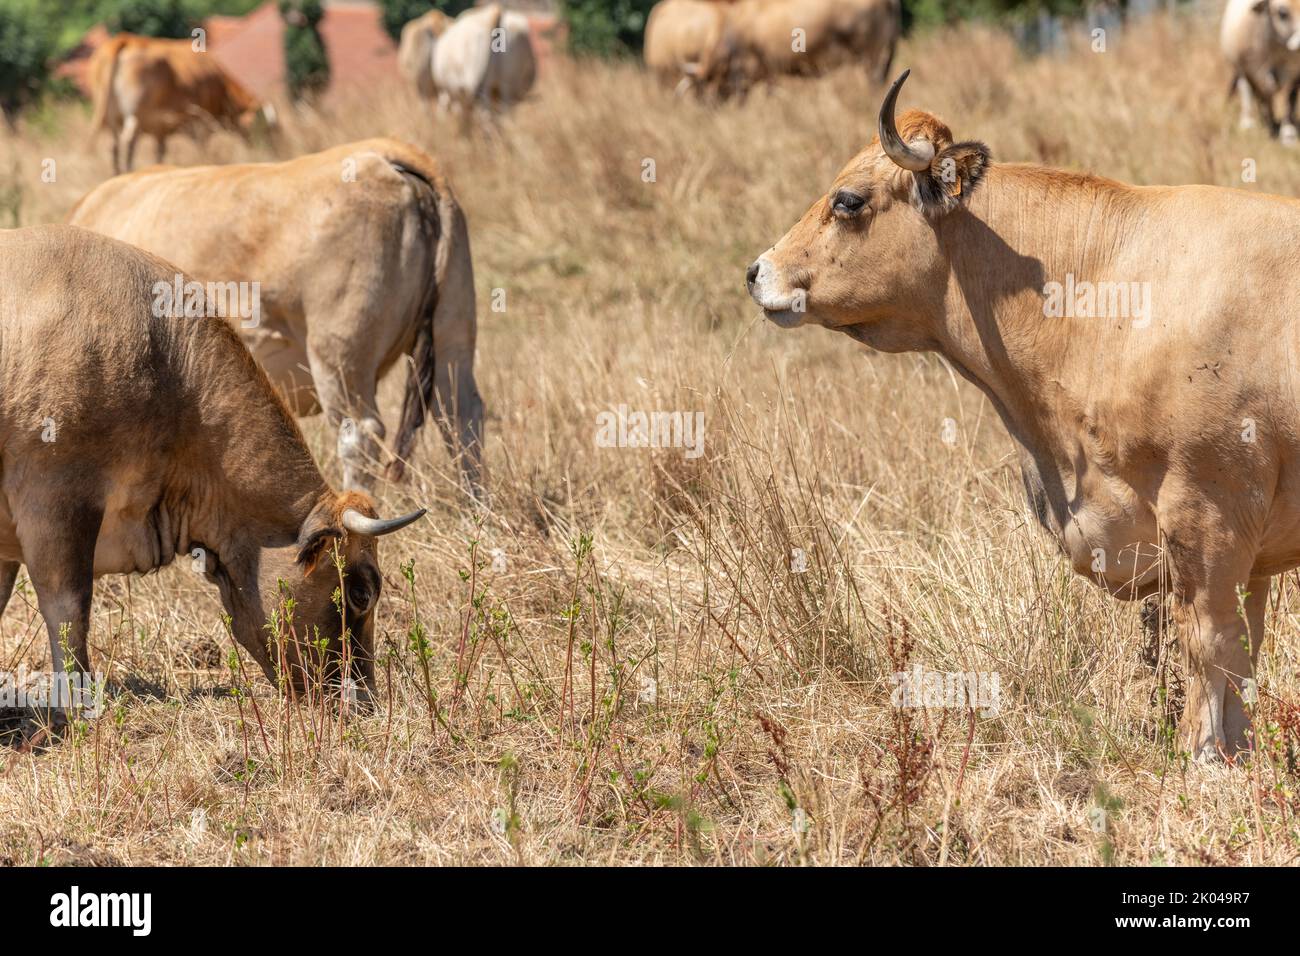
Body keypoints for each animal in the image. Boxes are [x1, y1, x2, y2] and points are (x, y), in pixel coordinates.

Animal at [88, 33, 278, 174]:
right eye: (268, 129)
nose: (276, 152)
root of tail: (123, 39)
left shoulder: (161, 130)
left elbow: (160, 152)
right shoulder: (201, 123)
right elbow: (202, 149)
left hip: (112, 117)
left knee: (113, 146)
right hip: (134, 115)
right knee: (128, 142)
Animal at [748, 70, 1300, 760]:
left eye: (847, 200)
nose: (757, 271)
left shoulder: (1210, 519)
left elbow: (1211, 649)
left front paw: (1200, 761)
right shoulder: (1250, 555)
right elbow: (1243, 660)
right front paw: (1237, 757)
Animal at [1222, 0, 1300, 140]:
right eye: (1282, 13)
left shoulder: (1293, 73)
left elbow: (1288, 99)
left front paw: (1288, 131)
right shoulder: (1252, 71)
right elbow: (1263, 99)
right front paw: (1270, 126)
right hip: (1242, 71)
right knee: (1248, 92)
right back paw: (1250, 122)